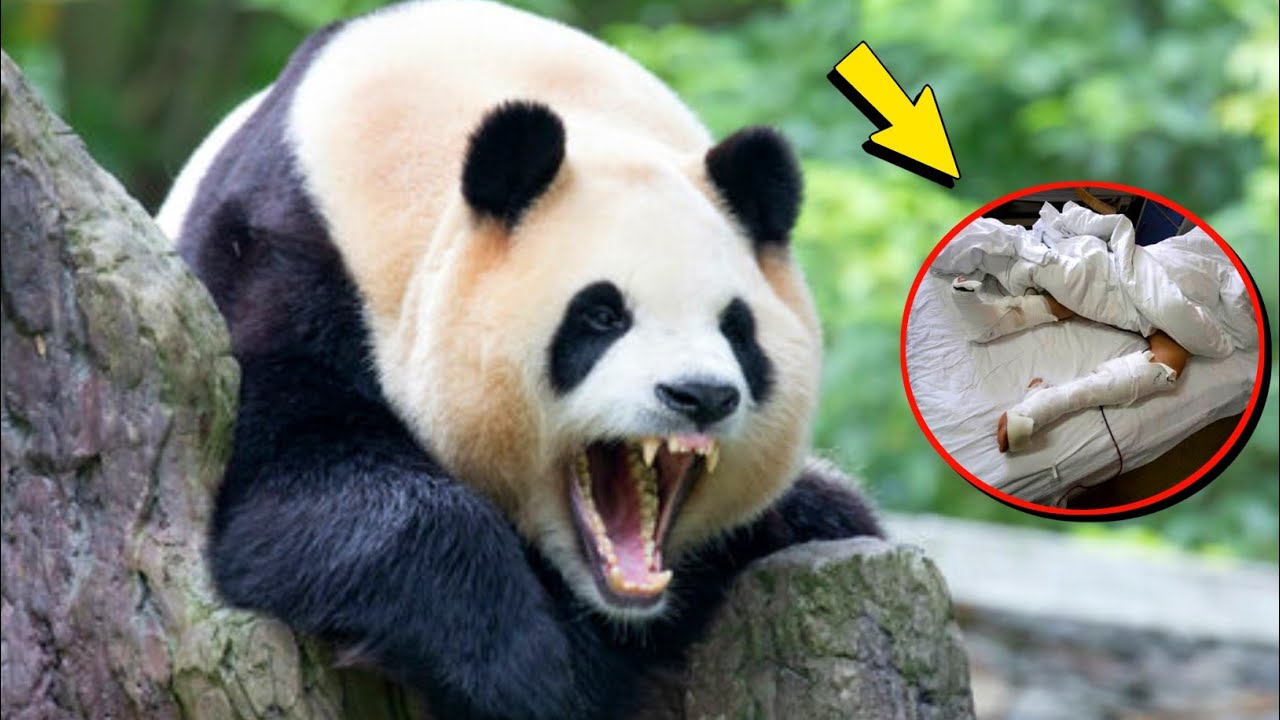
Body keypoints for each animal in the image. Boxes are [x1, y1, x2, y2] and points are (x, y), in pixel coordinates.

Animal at [158, 2, 881, 718]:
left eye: (736, 329)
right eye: (601, 316)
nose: (700, 394)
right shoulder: (285, 262)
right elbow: (305, 474)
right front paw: (523, 670)